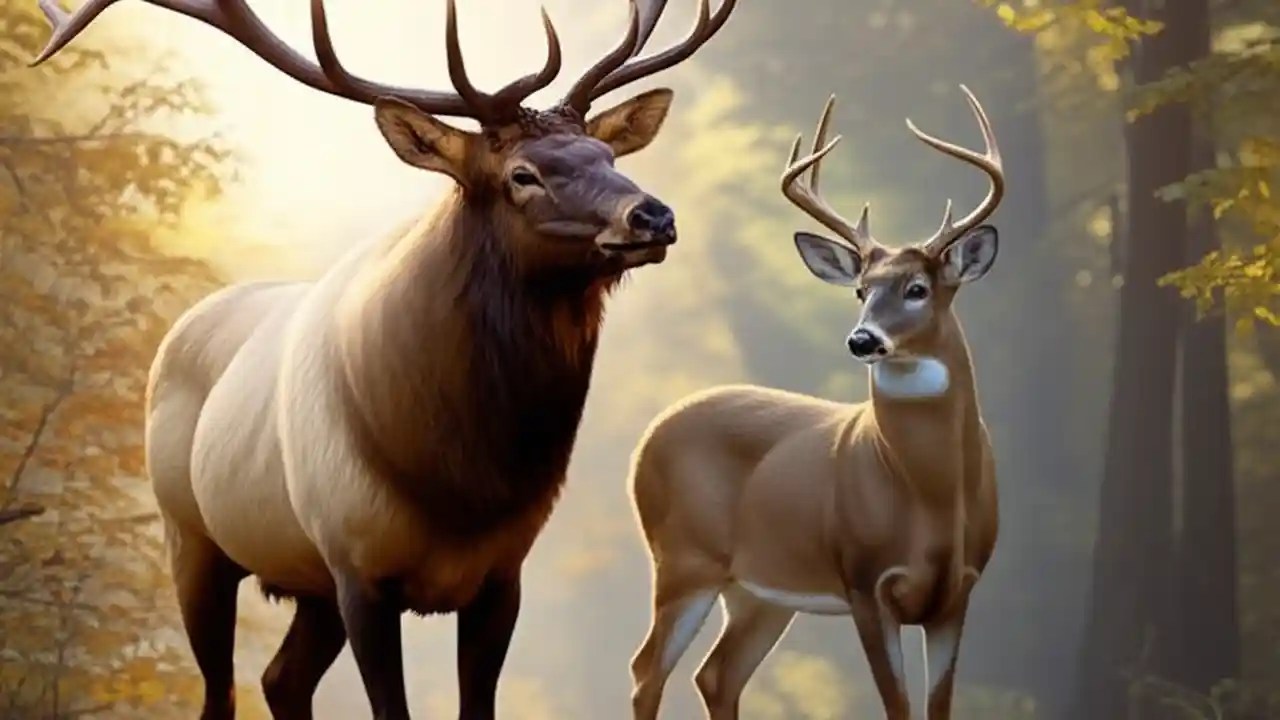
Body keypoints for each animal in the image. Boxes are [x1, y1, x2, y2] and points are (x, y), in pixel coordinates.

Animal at [30, 0, 738, 718]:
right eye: (522, 175)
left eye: (606, 153)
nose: (652, 216)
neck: (465, 485)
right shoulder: (359, 567)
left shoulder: (501, 575)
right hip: (193, 537)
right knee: (221, 689)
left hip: (308, 585)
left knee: (280, 678)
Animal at [626, 86, 1005, 720]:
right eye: (861, 291)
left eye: (918, 289)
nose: (863, 339)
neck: (927, 496)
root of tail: (647, 437)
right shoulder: (865, 581)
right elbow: (897, 707)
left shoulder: (960, 592)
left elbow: (938, 710)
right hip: (683, 558)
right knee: (647, 670)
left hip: (758, 590)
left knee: (716, 674)